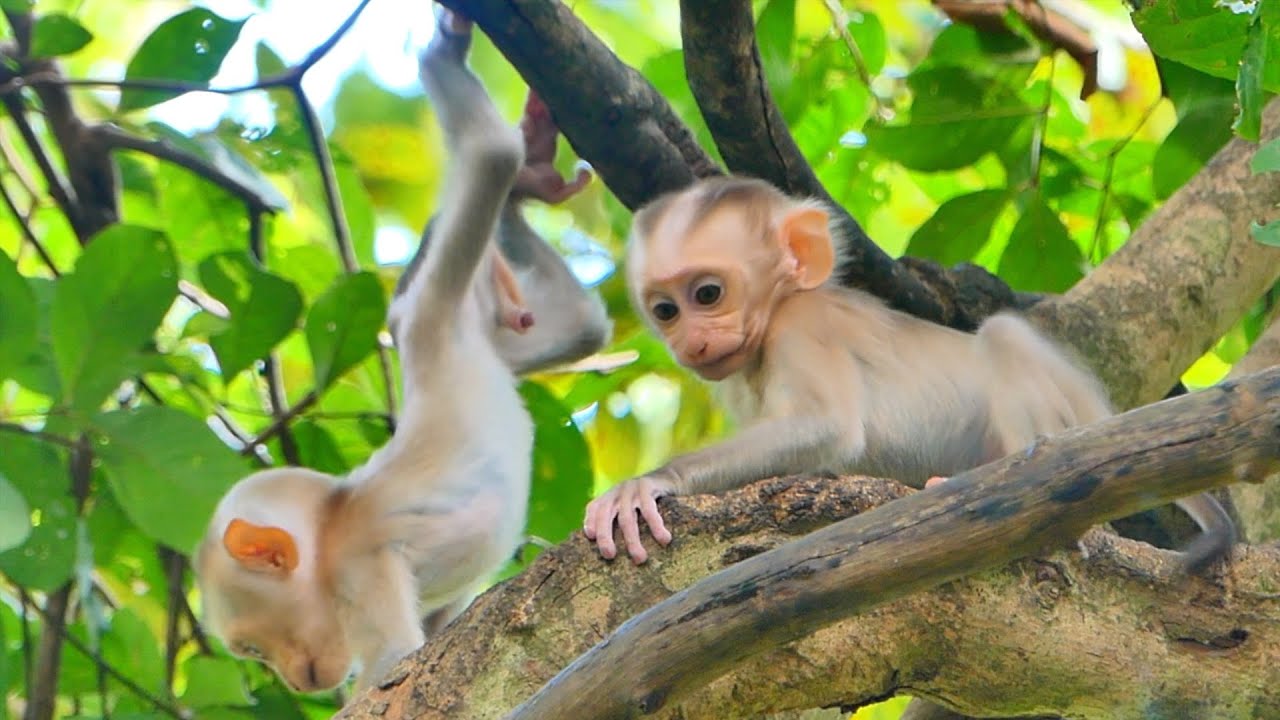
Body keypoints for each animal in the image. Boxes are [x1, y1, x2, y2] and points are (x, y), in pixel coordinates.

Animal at [194, 7, 609, 695]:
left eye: (253, 647)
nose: (297, 683)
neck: (332, 525)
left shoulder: (359, 565)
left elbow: (392, 660)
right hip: (484, 331)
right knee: (583, 326)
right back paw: (530, 179)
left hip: (428, 319)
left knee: (487, 157)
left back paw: (454, 73)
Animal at [582, 175, 1235, 575]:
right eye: (665, 310)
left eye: (708, 294)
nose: (690, 340)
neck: (772, 323)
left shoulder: (804, 328)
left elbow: (830, 428)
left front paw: (649, 483)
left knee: (1002, 338)